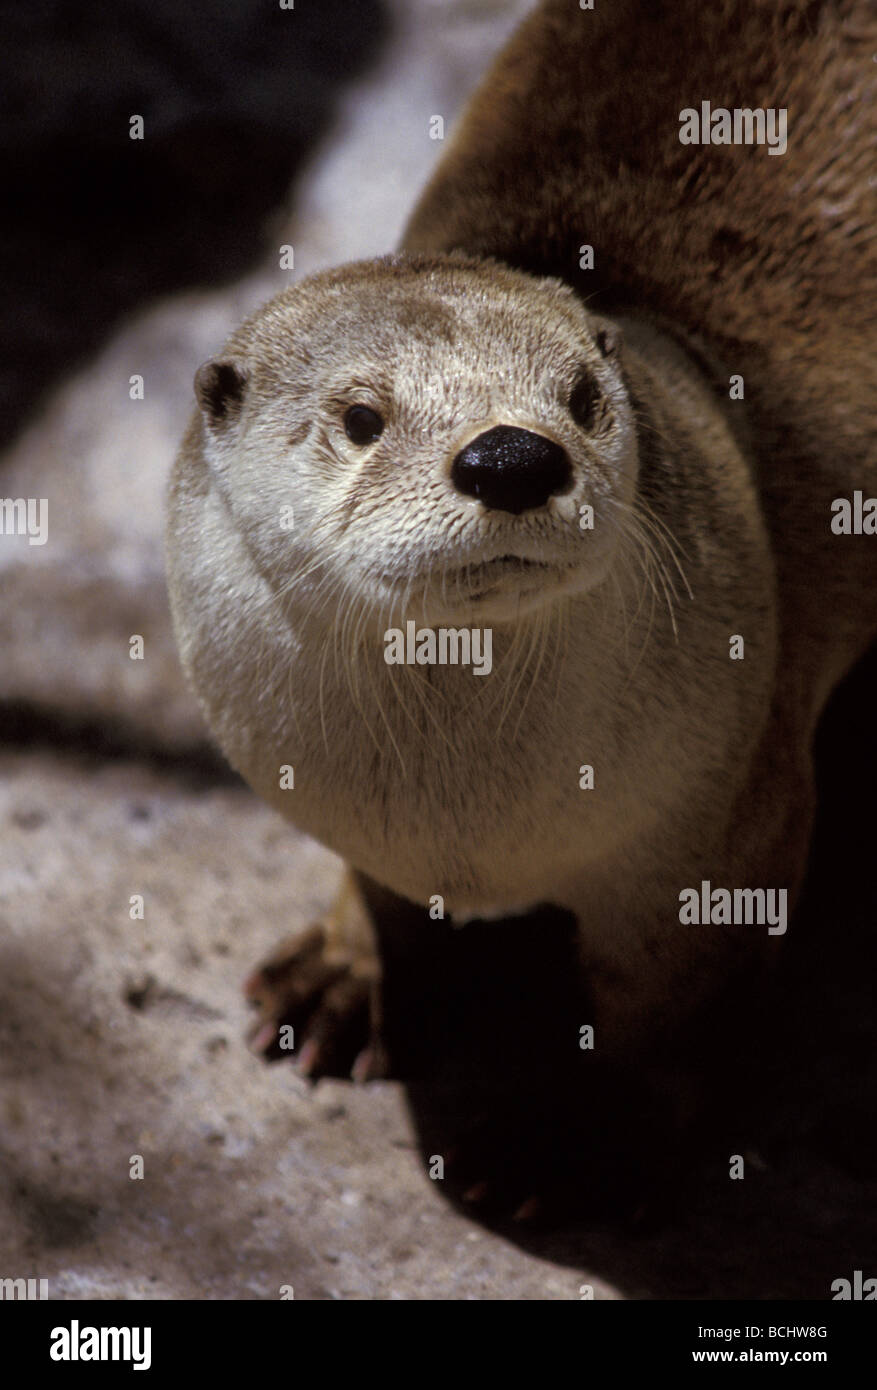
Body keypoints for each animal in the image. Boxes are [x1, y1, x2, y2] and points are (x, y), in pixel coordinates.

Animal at [166, 0, 876, 1095]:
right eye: (361, 417)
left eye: (581, 397)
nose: (511, 456)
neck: (467, 831)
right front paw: (338, 974)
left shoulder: (728, 847)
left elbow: (661, 1032)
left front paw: (604, 1128)